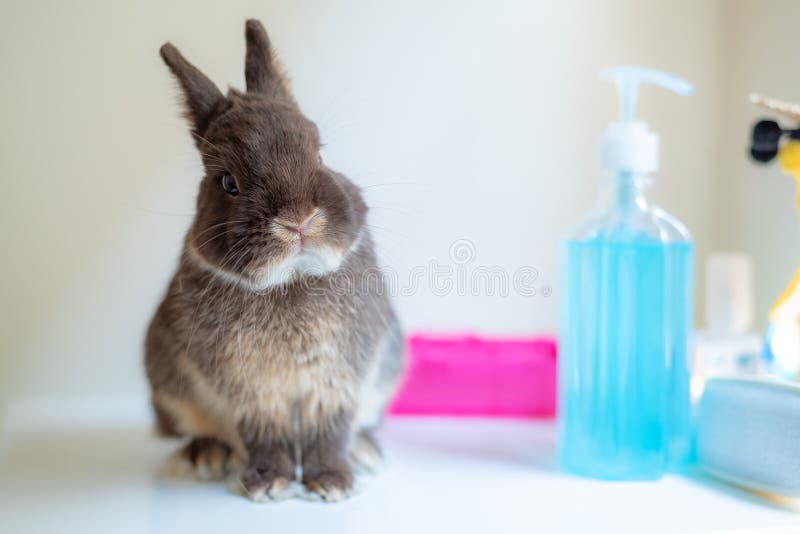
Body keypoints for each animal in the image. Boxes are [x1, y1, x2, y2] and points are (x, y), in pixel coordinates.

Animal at [145, 19, 404, 502]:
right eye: (227, 182)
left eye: (319, 153)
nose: (299, 220)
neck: (292, 278)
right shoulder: (253, 393)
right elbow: (265, 434)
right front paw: (269, 484)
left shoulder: (337, 382)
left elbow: (329, 432)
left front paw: (332, 484)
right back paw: (205, 457)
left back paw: (365, 451)